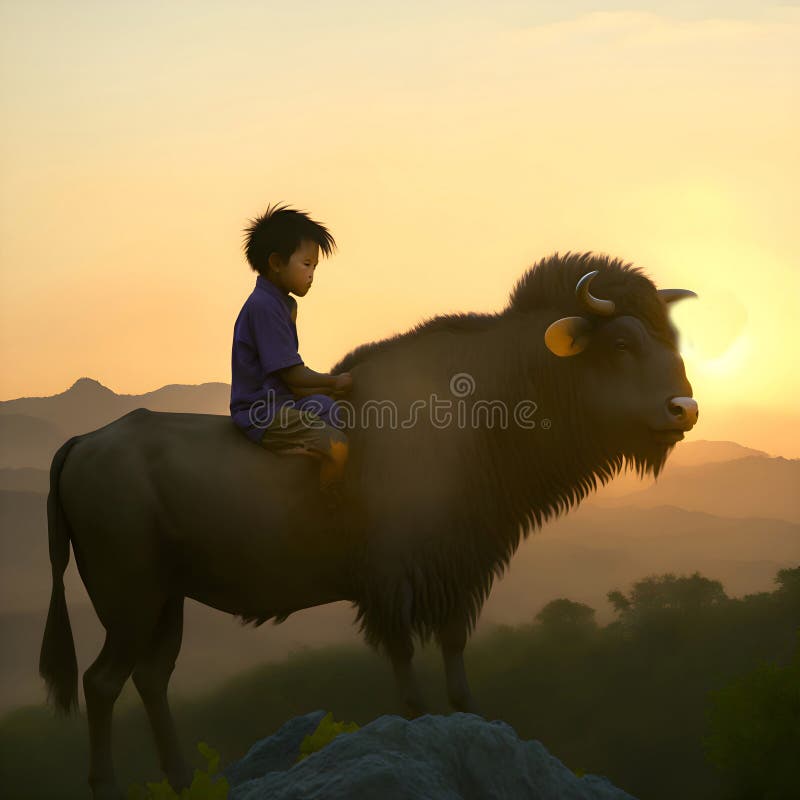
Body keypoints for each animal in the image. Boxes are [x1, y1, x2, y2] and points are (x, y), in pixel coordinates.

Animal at [40, 251, 697, 799]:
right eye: (621, 342)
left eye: (672, 336)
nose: (684, 409)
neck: (475, 409)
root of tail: (83, 444)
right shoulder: (393, 582)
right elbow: (405, 657)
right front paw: (417, 717)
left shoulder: (460, 570)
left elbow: (454, 648)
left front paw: (470, 712)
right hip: (129, 599)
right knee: (102, 683)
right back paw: (107, 786)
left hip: (167, 601)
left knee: (152, 678)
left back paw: (180, 780)